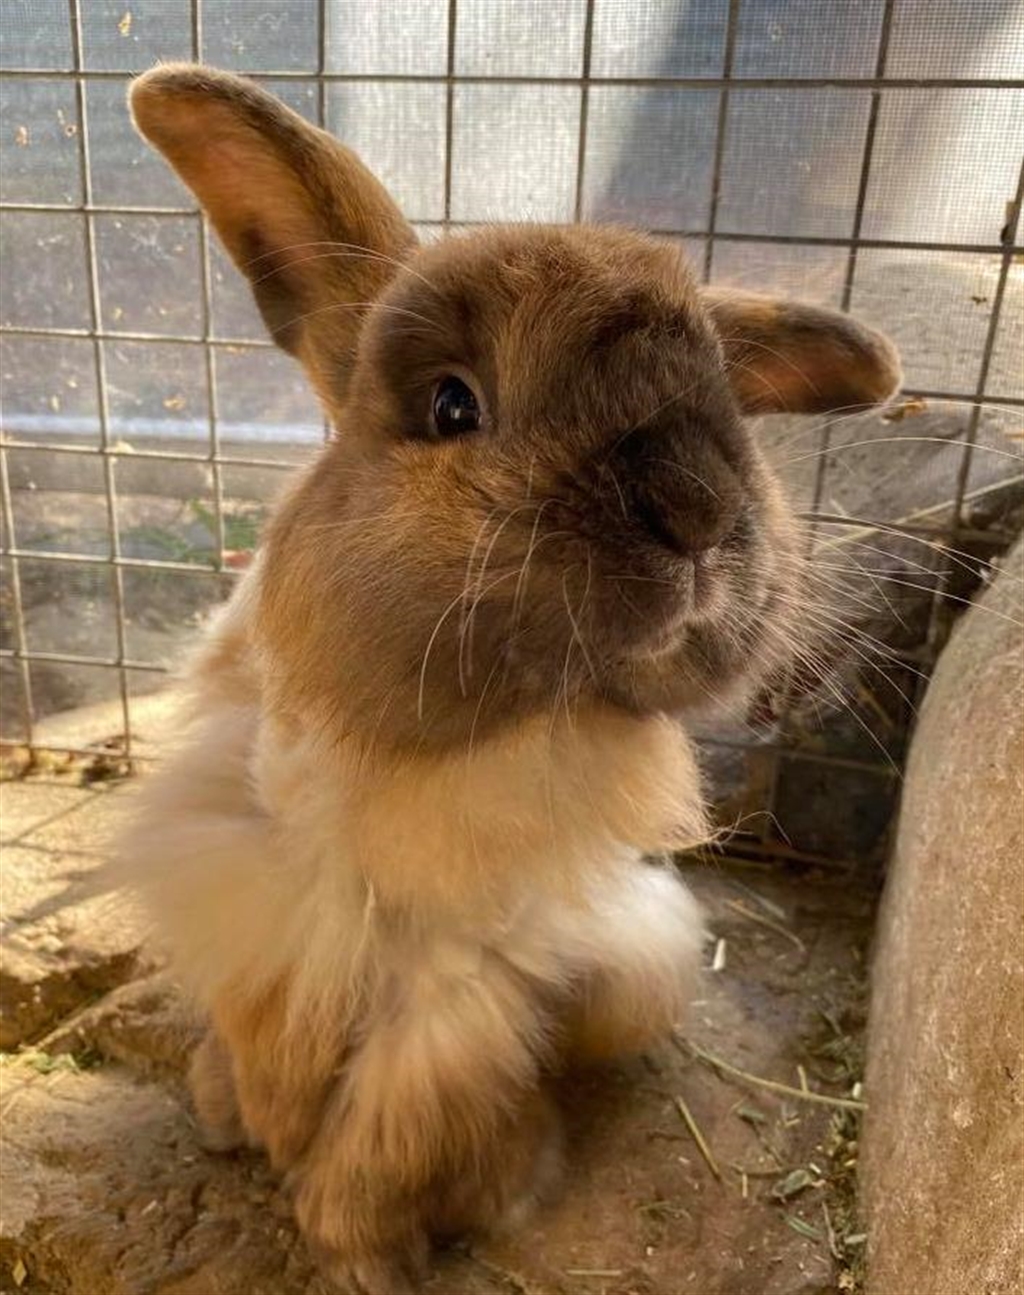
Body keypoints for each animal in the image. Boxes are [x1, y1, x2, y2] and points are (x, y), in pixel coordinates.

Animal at [121, 64, 901, 1295]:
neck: (426, 744)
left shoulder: (466, 986)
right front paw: (263, 1128)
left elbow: (394, 1128)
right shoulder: (261, 893)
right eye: (453, 405)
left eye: (726, 402)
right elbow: (277, 1046)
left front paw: (360, 1250)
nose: (697, 506)